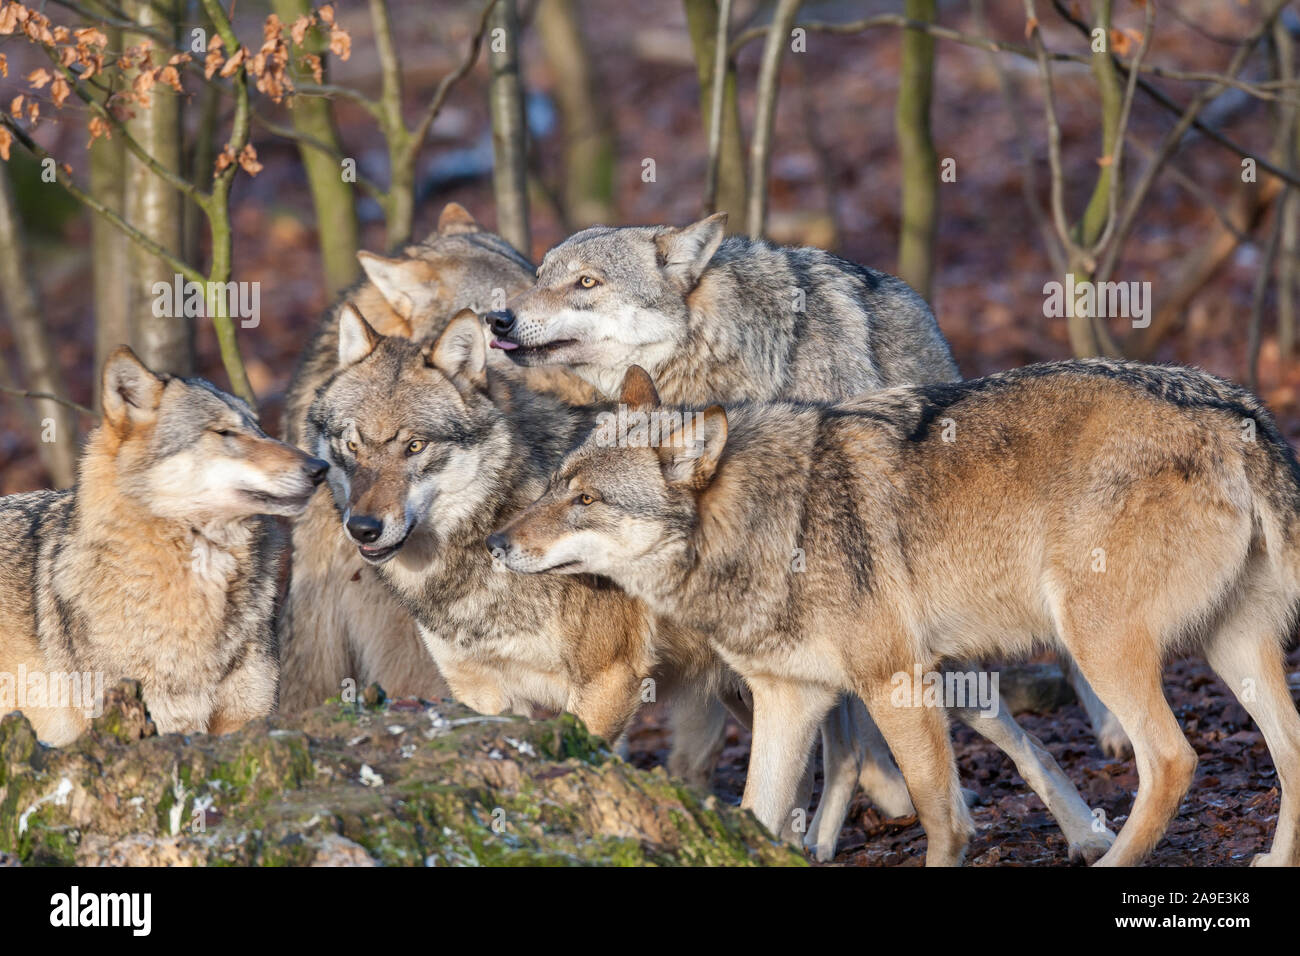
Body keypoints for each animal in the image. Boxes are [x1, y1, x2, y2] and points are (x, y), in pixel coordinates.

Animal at [494, 361, 1300, 866]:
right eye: (557, 485)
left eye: (585, 500)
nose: (498, 542)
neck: (773, 522)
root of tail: (1238, 412)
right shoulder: (790, 700)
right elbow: (757, 810)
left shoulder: (895, 681)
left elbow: (941, 816)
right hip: (1228, 647)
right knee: (1288, 744)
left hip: (1100, 645)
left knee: (1172, 760)